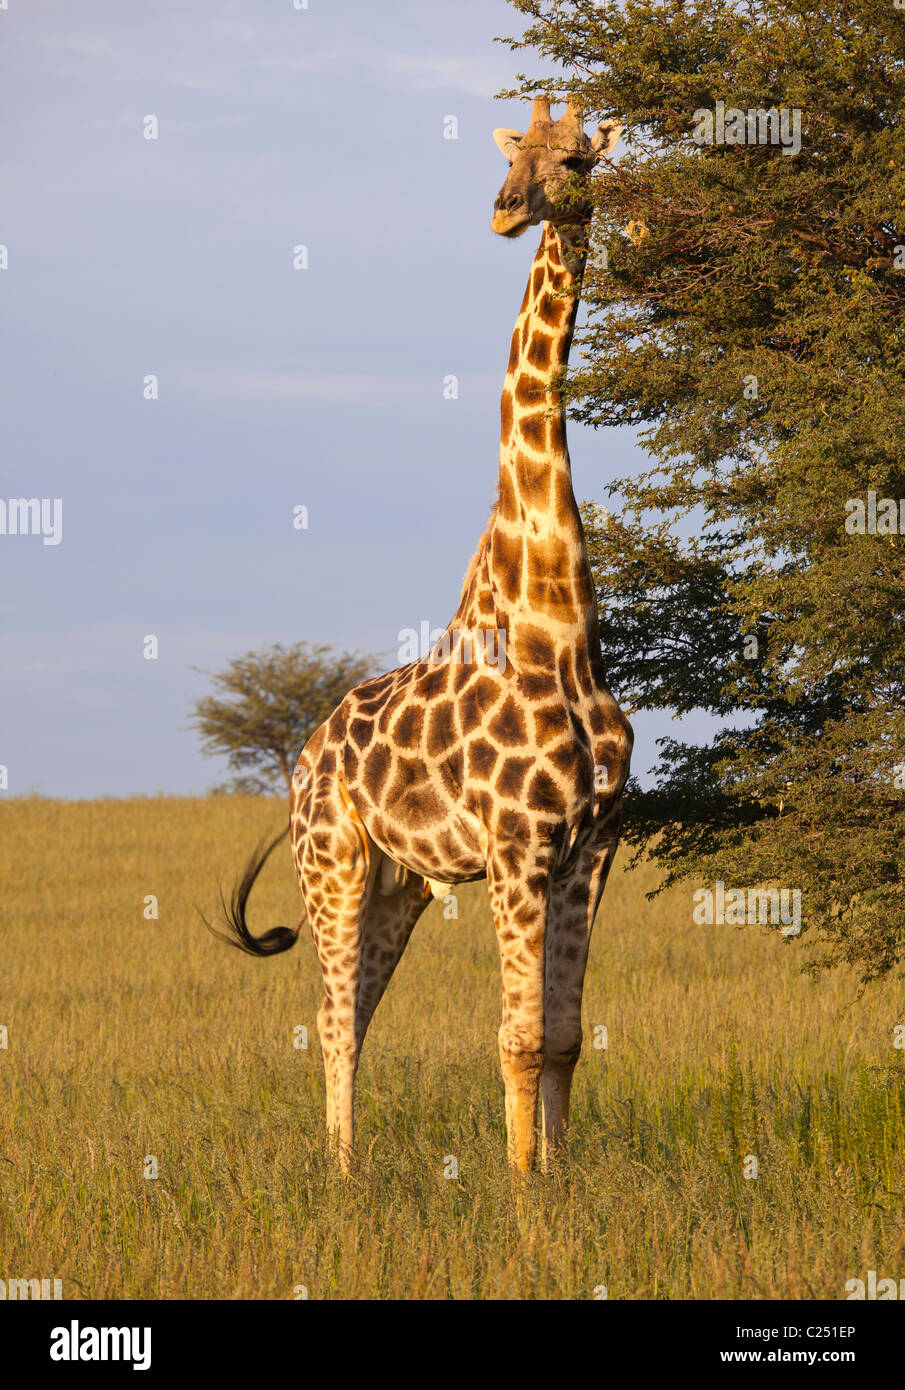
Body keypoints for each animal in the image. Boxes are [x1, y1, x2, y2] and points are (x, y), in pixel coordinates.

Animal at [214, 98, 632, 1174]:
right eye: (513, 155)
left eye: (574, 161)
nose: (504, 209)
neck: (557, 625)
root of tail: (305, 751)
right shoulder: (519, 844)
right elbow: (516, 1039)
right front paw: (523, 1195)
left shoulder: (588, 847)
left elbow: (562, 1038)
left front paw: (556, 1186)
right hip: (333, 857)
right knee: (329, 1016)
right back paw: (342, 1176)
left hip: (402, 879)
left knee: (357, 1010)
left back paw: (351, 1165)